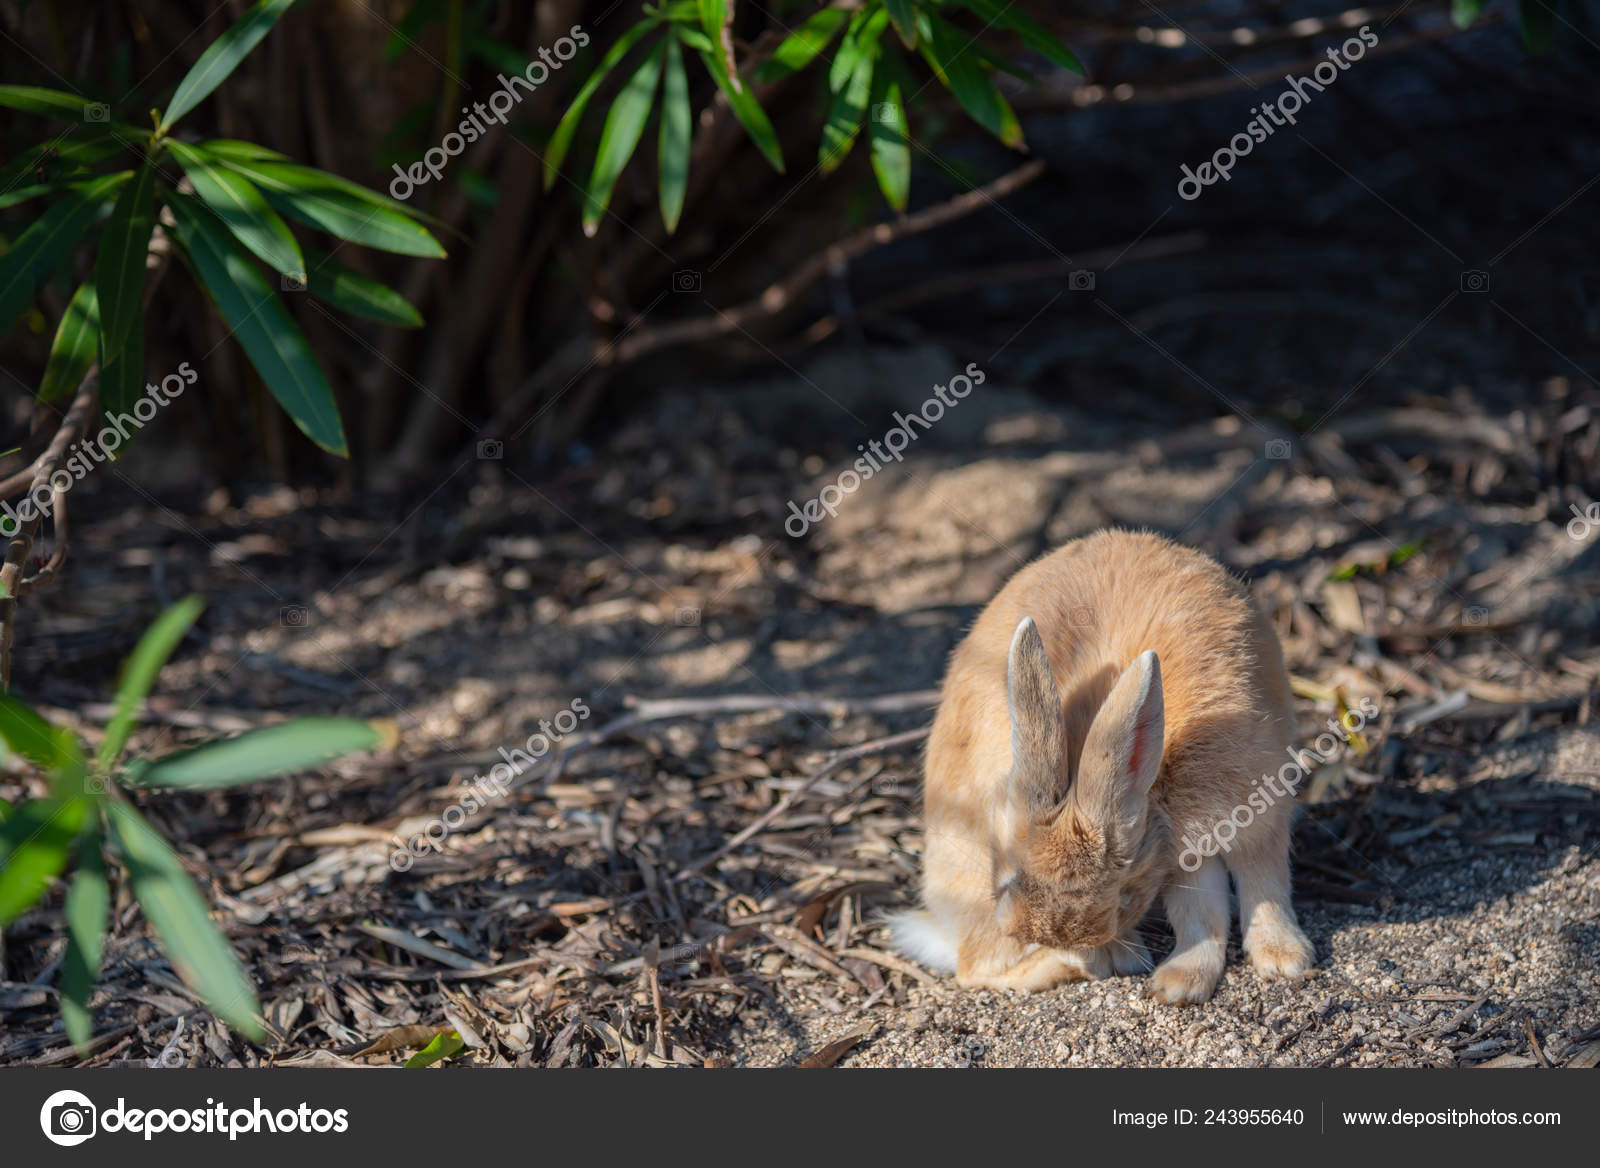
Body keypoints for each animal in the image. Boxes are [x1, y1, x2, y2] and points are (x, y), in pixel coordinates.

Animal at [891, 529, 1315, 1004]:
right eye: (1005, 878)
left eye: (1123, 892)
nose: (1049, 933)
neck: (1154, 780)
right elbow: (1200, 911)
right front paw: (1178, 983)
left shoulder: (1249, 819)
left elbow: (1262, 885)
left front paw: (1284, 961)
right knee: (971, 968)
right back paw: (1085, 963)